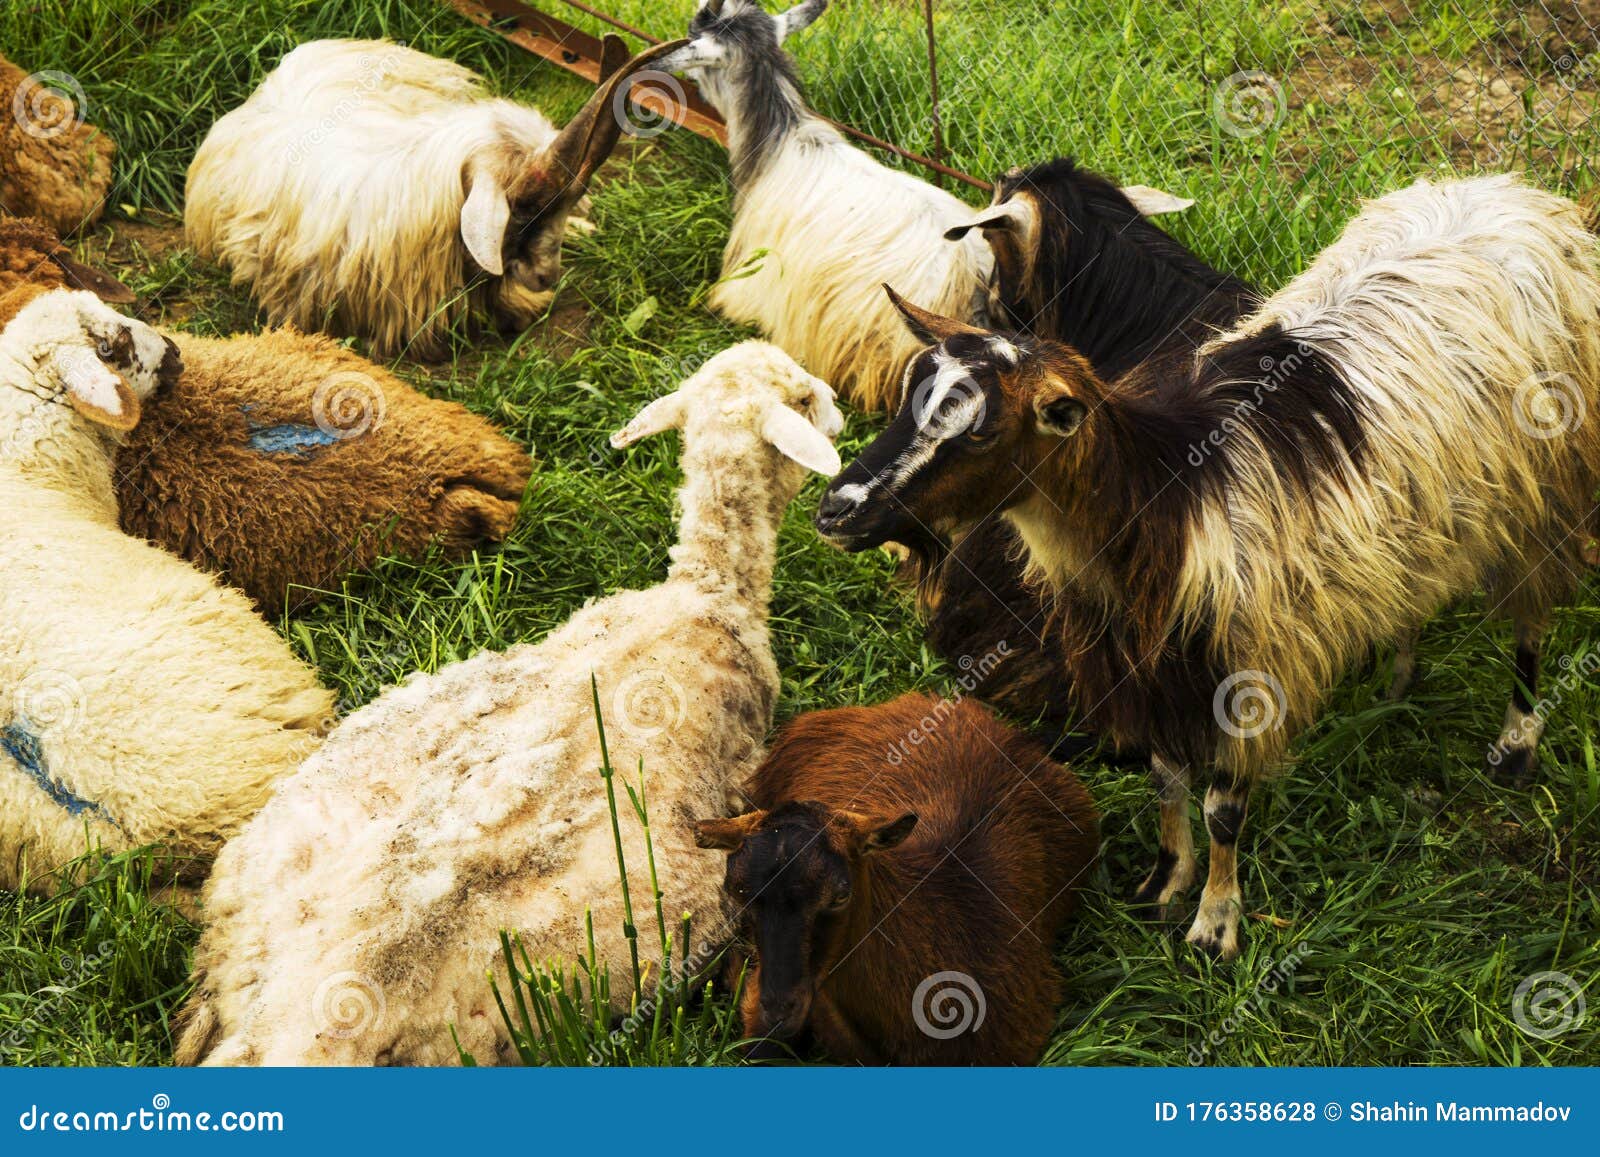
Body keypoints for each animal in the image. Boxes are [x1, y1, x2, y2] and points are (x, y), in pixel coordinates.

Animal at [816, 174, 1600, 960]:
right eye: (908, 395)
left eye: (982, 432)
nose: (837, 508)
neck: (1171, 508)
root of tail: (1514, 193)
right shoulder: (1147, 663)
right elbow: (1166, 777)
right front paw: (1166, 880)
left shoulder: (1248, 660)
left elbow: (1224, 805)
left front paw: (1215, 924)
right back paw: (1398, 672)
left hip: (1549, 489)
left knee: (1533, 617)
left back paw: (1516, 741)